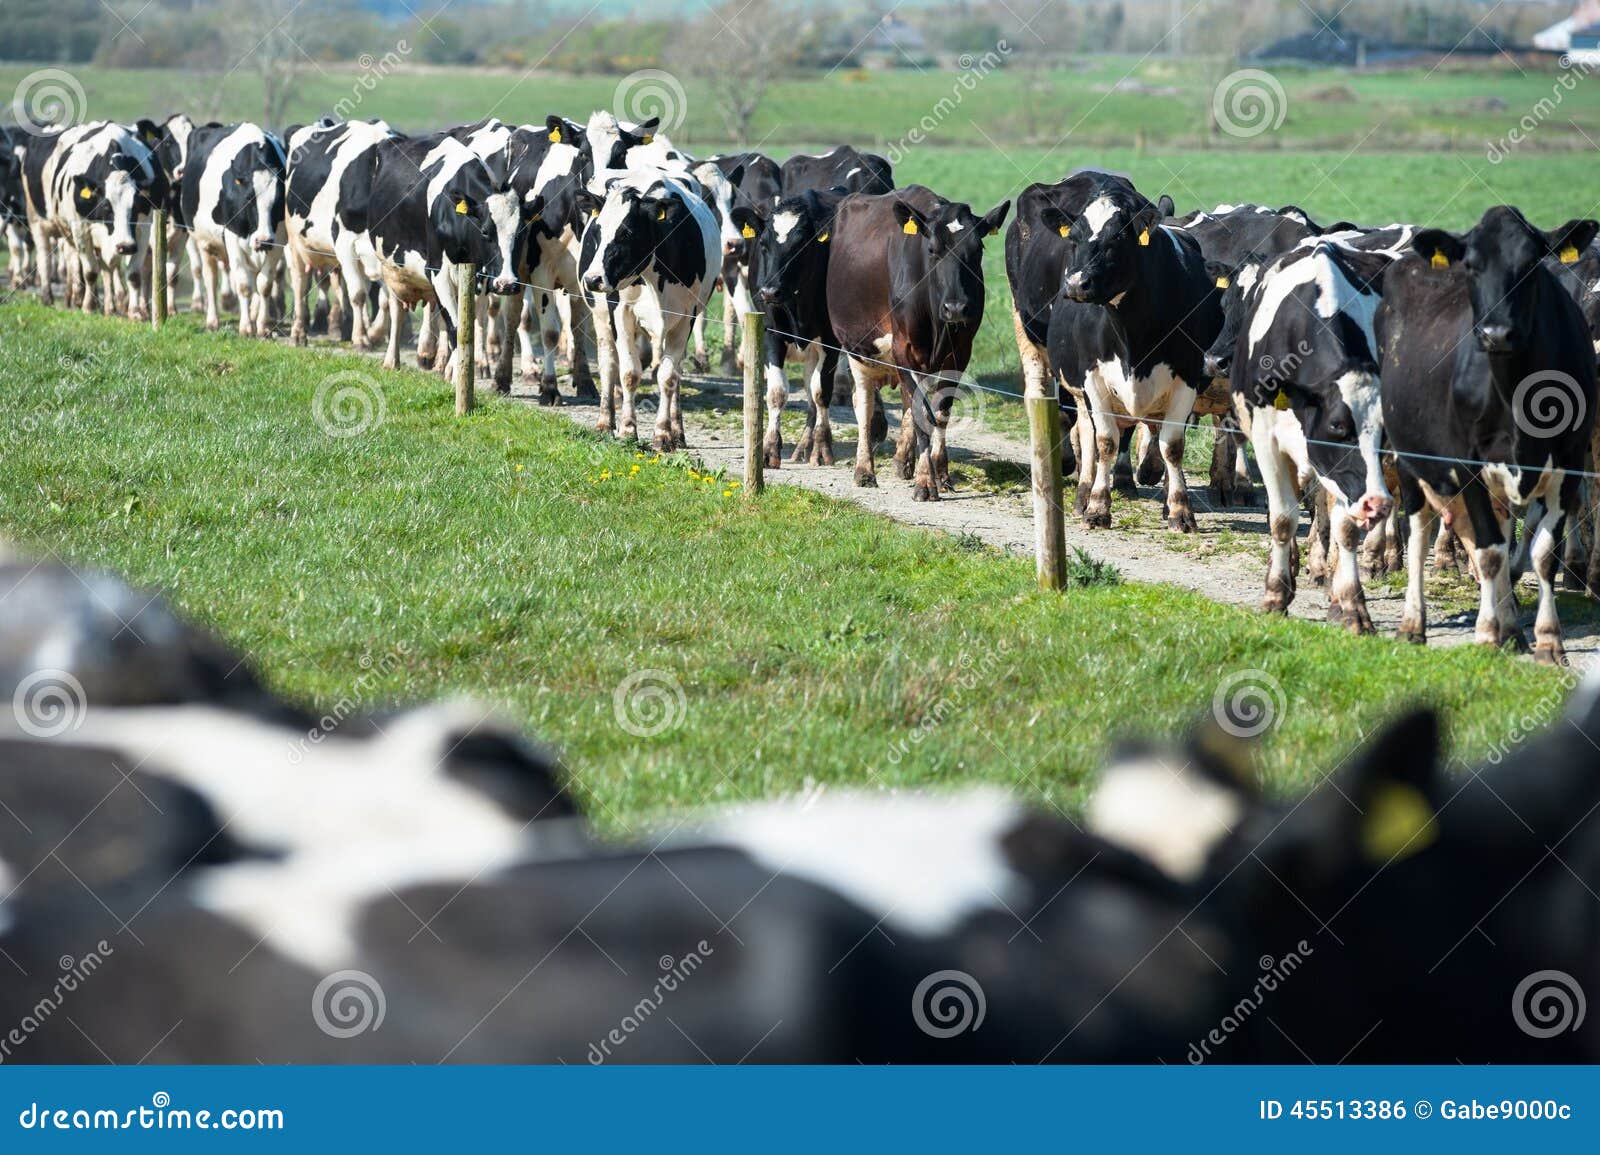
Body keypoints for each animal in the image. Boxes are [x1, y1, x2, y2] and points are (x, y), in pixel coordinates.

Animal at [180, 122, 288, 337]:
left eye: (279, 200)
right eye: (248, 199)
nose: (263, 240)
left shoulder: (277, 239)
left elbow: (264, 285)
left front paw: (262, 326)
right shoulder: (233, 239)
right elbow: (244, 285)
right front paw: (246, 328)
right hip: (204, 242)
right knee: (210, 279)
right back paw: (212, 321)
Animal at [578, 170, 719, 451]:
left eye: (627, 233)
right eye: (597, 231)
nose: (593, 278)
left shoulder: (686, 317)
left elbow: (668, 376)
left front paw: (664, 434)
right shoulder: (620, 311)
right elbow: (629, 372)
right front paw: (627, 430)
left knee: (675, 374)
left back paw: (678, 431)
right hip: (600, 316)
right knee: (608, 363)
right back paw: (605, 423)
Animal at [826, 186, 1009, 500]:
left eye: (978, 251)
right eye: (932, 250)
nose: (956, 308)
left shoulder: (960, 354)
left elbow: (940, 412)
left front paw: (941, 472)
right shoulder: (903, 349)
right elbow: (922, 414)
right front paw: (925, 482)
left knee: (908, 402)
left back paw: (903, 460)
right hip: (856, 348)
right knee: (864, 404)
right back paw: (864, 470)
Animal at [1049, 182, 1221, 532]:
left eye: (1117, 237)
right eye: (1074, 237)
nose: (1076, 283)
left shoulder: (1187, 377)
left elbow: (1172, 445)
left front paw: (1180, 511)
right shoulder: (1093, 377)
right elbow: (1105, 442)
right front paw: (1097, 508)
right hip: (1080, 392)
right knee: (1087, 434)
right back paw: (1083, 496)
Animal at [1378, 207, 1599, 662]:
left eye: (1530, 265)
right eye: (1471, 266)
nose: (1495, 334)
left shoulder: (1569, 462)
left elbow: (1541, 553)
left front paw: (1547, 640)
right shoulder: (1468, 463)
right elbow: (1490, 552)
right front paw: (1484, 635)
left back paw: (1511, 627)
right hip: (1411, 457)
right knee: (1422, 532)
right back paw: (1413, 624)